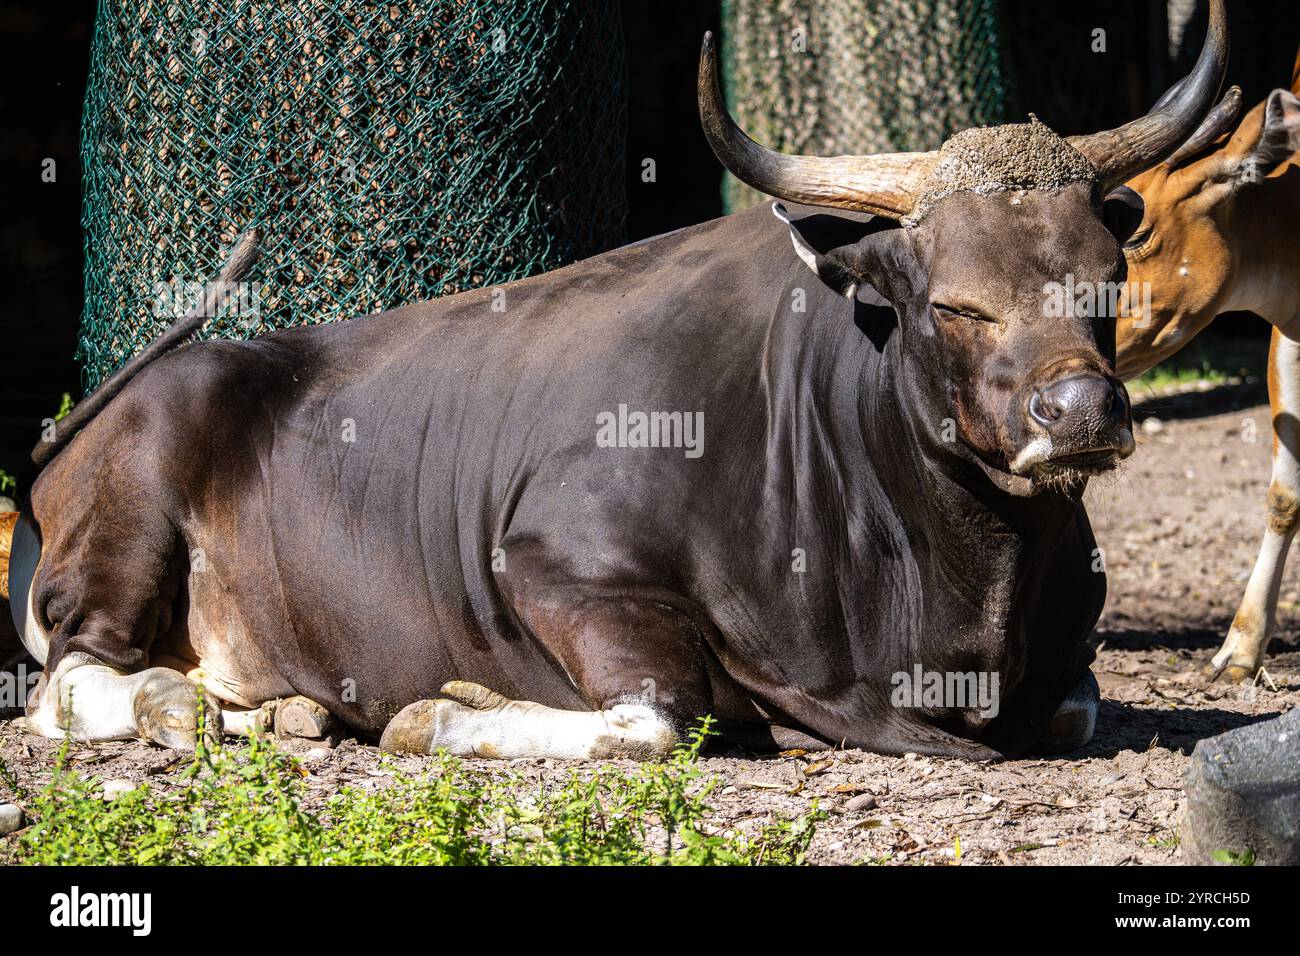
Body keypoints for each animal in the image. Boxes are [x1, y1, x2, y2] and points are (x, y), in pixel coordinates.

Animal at [0, 2, 1228, 761]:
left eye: (1106, 275)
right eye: (955, 303)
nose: (1080, 412)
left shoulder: (1070, 659)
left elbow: (1072, 711)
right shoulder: (556, 567)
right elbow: (657, 718)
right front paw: (438, 716)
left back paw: (278, 712)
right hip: (125, 530)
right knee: (69, 679)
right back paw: (175, 704)